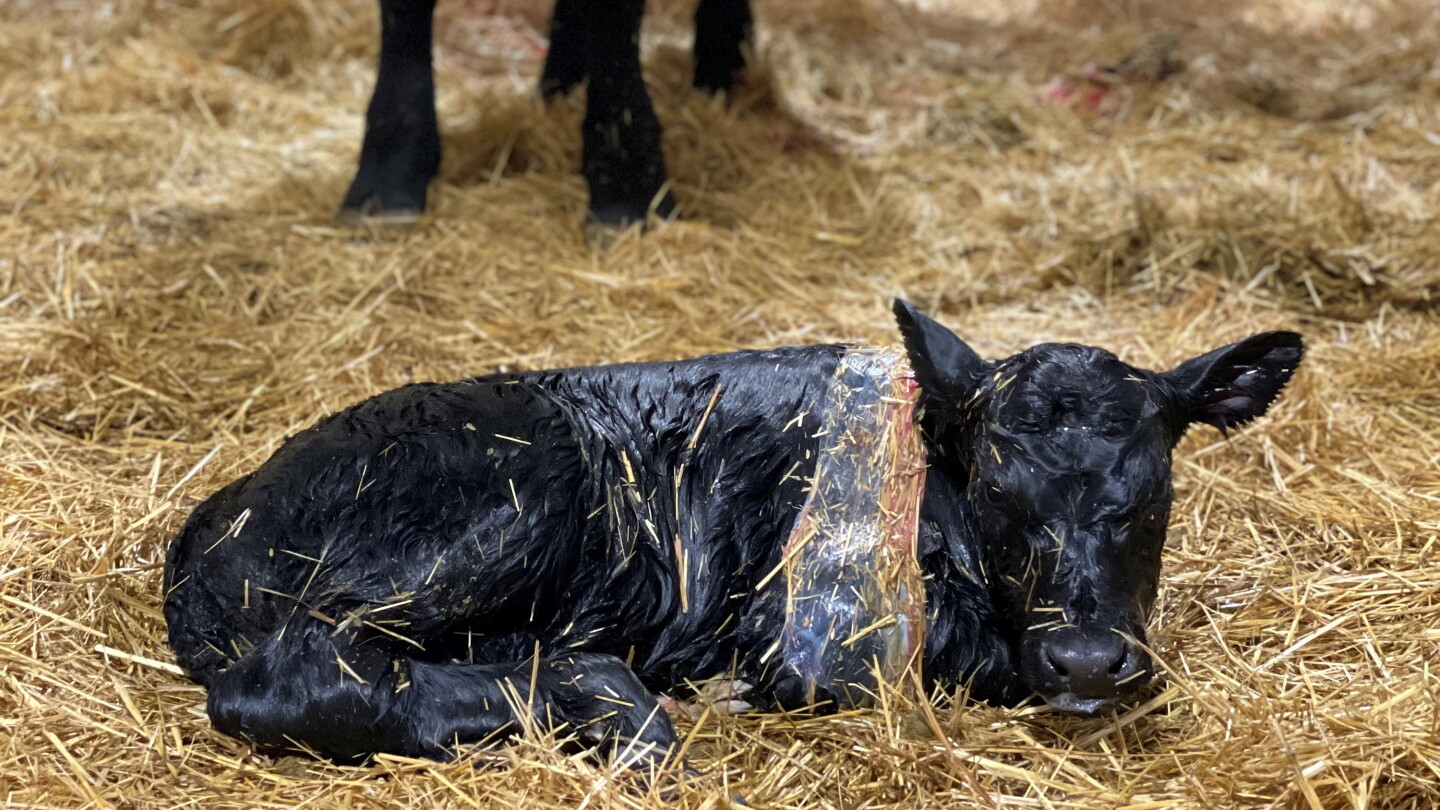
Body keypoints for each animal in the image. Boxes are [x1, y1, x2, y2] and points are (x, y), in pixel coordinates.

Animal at [163, 300, 1303, 767]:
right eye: (996, 486)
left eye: (1150, 486)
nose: (1087, 658)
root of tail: (218, 509)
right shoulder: (807, 636)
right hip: (505, 506)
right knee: (293, 677)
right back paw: (612, 706)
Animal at [338, 0, 753, 233]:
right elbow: (403, 10)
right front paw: (388, 175)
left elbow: (612, 17)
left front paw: (627, 189)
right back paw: (558, 83)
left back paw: (719, 62)